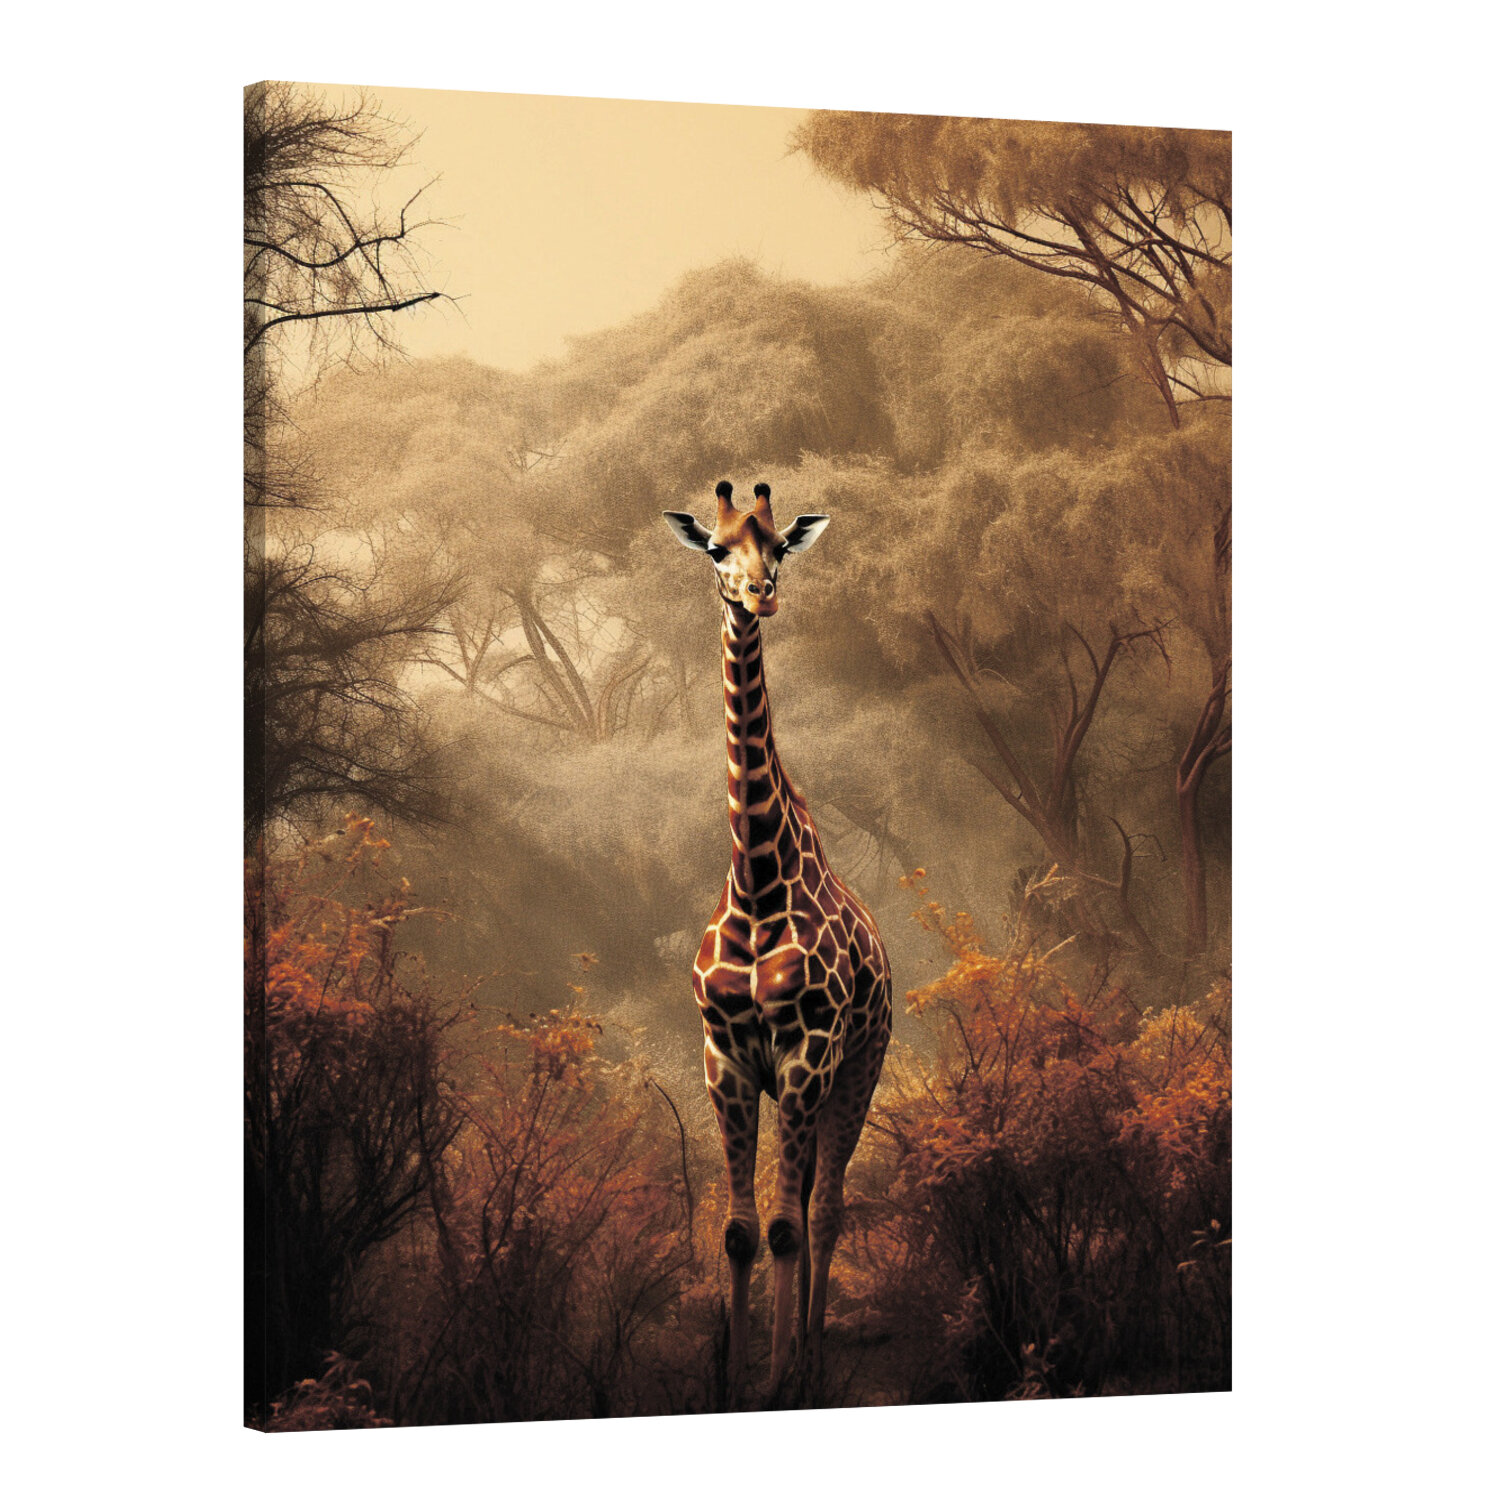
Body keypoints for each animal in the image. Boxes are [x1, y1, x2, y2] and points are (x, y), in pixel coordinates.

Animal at [663, 480, 892, 1391]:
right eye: (718, 549)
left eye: (780, 547)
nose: (760, 594)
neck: (757, 883)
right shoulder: (724, 1059)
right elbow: (739, 1229)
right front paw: (733, 1380)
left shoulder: (806, 1054)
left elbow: (792, 1226)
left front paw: (780, 1376)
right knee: (803, 1206)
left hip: (859, 1067)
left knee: (824, 1210)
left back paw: (815, 1356)